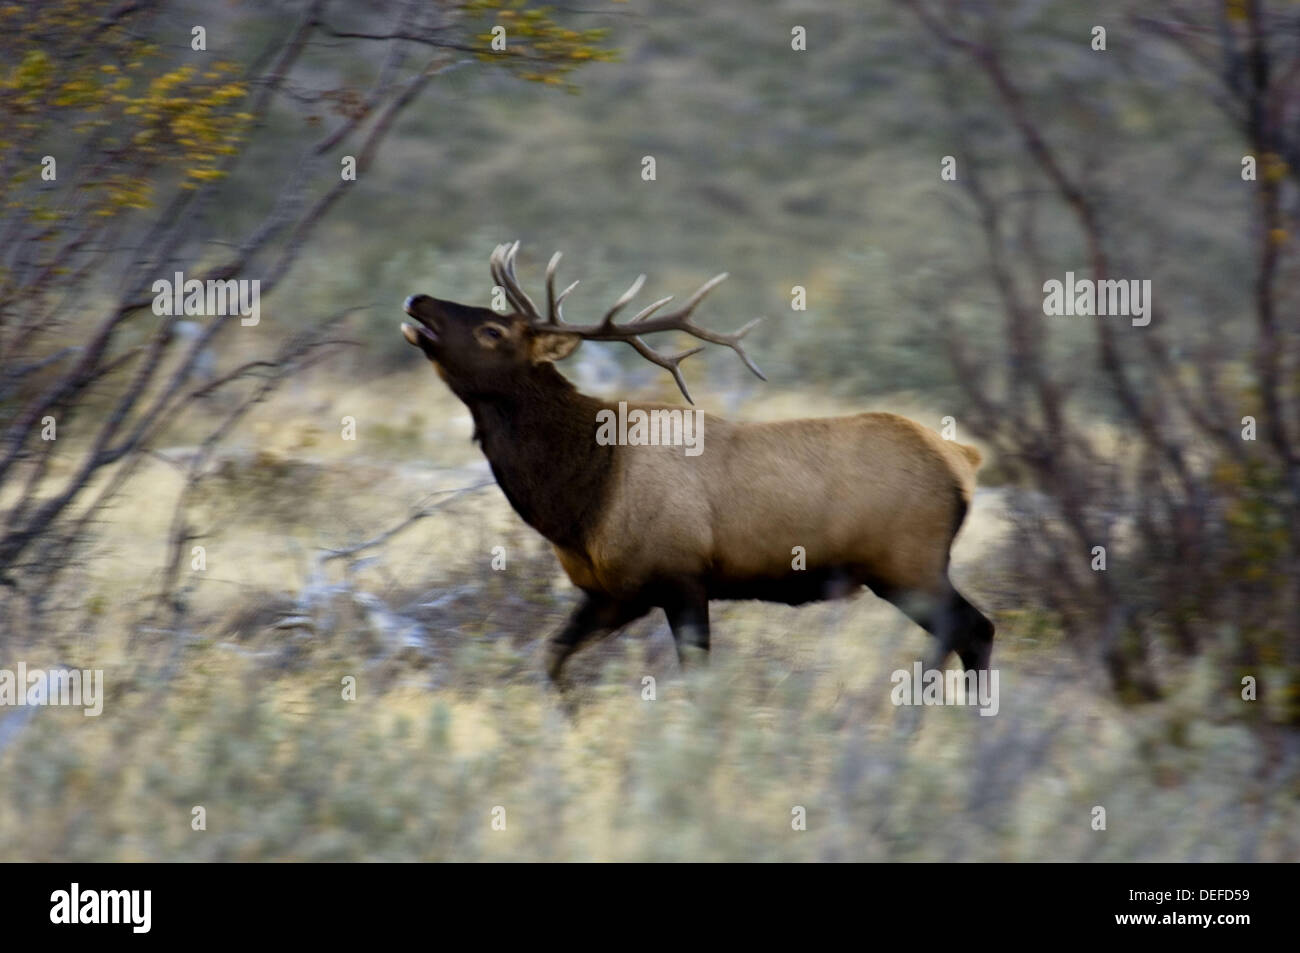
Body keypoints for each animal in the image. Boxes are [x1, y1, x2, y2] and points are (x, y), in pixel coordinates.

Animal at [401, 242, 993, 687]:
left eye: (492, 331)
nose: (417, 299)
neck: (579, 501)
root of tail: (964, 460)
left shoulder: (680, 576)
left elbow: (694, 681)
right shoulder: (613, 592)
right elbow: (553, 659)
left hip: (909, 564)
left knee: (973, 629)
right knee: (972, 632)